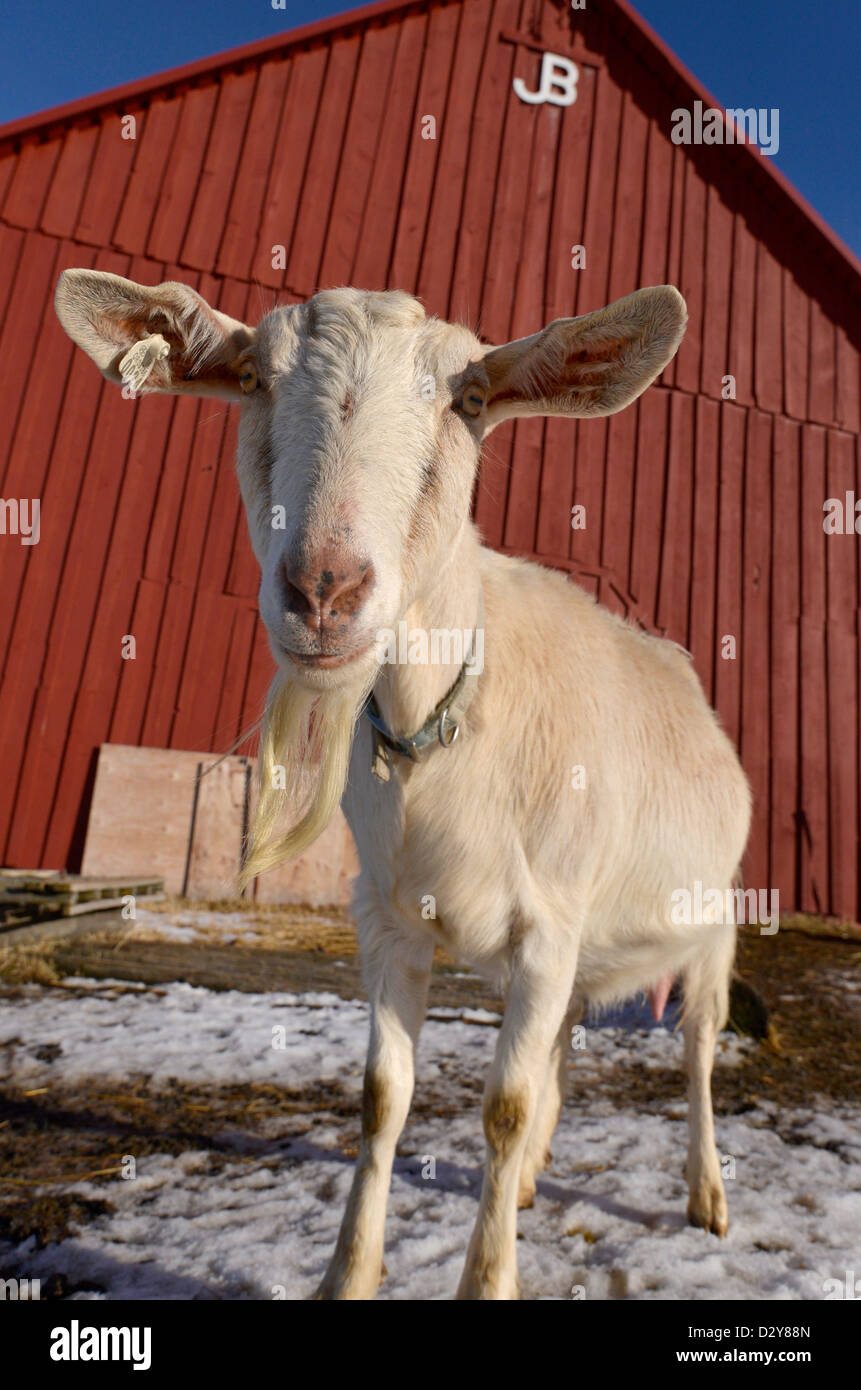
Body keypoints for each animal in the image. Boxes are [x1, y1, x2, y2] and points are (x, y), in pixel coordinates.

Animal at [55, 271, 751, 1299]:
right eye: (253, 379)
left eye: (470, 401)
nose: (323, 590)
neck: (448, 734)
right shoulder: (386, 917)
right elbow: (383, 1098)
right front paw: (347, 1273)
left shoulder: (547, 926)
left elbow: (504, 1107)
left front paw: (488, 1278)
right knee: (566, 1040)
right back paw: (537, 1178)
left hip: (710, 926)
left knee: (699, 1052)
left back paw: (706, 1197)